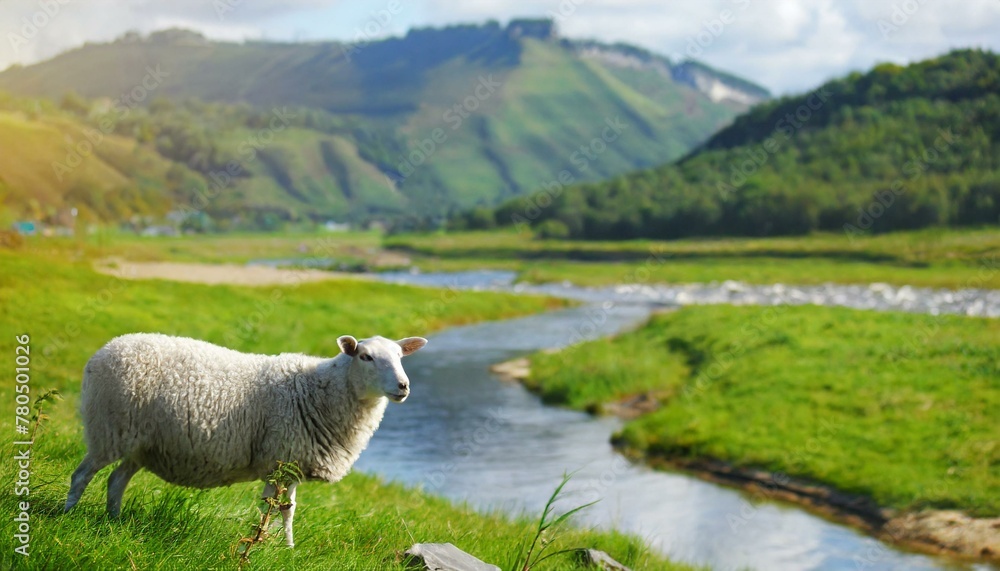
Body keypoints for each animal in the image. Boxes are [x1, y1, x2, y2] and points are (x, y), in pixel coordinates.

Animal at [63, 332, 427, 547]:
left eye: (400, 356)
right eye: (365, 357)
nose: (404, 386)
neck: (323, 389)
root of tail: (105, 350)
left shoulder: (292, 464)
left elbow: (288, 510)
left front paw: (287, 549)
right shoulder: (277, 460)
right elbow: (271, 508)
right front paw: (261, 543)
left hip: (139, 445)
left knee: (116, 480)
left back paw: (114, 521)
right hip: (109, 430)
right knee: (81, 476)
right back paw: (66, 517)